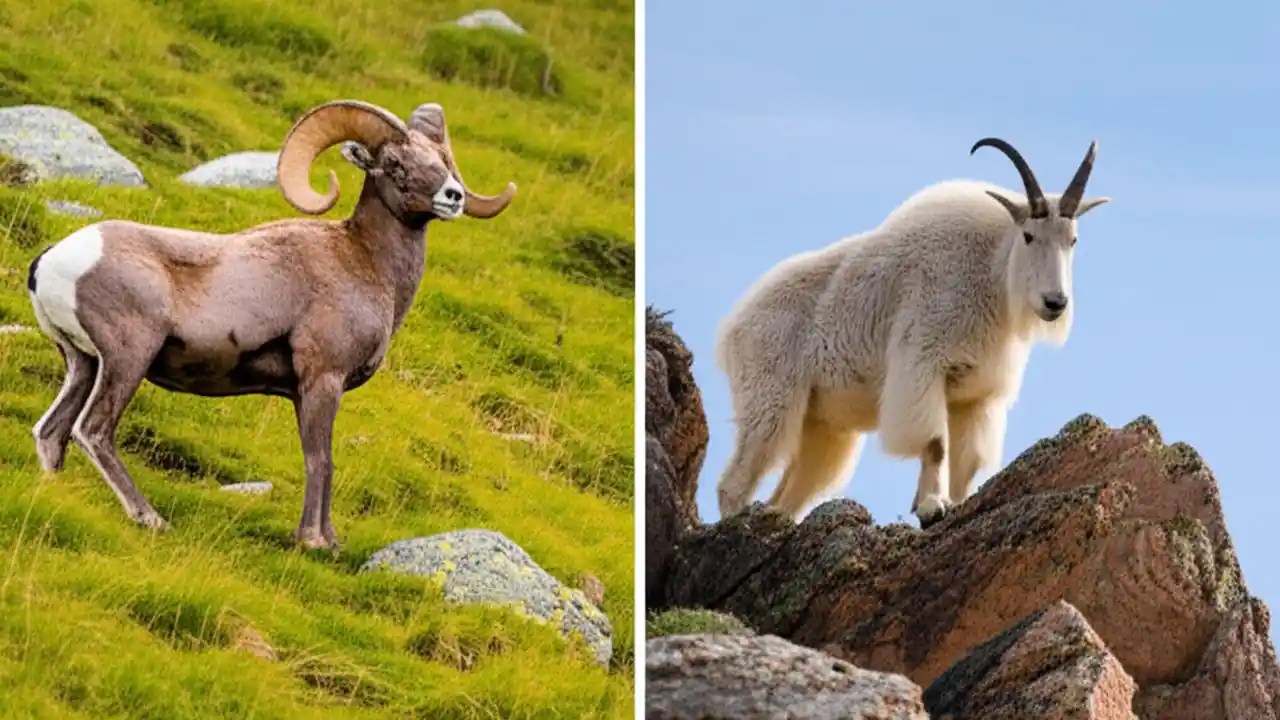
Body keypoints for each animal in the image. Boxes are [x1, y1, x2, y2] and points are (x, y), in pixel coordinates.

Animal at [26, 99, 516, 550]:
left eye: (442, 160)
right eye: (395, 163)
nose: (452, 196)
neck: (364, 263)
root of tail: (52, 260)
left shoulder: (304, 392)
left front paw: (330, 542)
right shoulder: (323, 380)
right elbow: (320, 458)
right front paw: (312, 541)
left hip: (83, 363)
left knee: (51, 433)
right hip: (127, 359)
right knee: (94, 431)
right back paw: (151, 518)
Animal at [714, 138, 1108, 529]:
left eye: (1072, 240)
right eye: (1028, 235)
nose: (1055, 302)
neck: (989, 271)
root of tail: (731, 330)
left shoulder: (974, 394)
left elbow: (967, 462)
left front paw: (956, 504)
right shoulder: (923, 363)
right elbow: (934, 443)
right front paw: (932, 507)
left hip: (821, 426)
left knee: (788, 493)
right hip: (770, 400)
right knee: (735, 482)